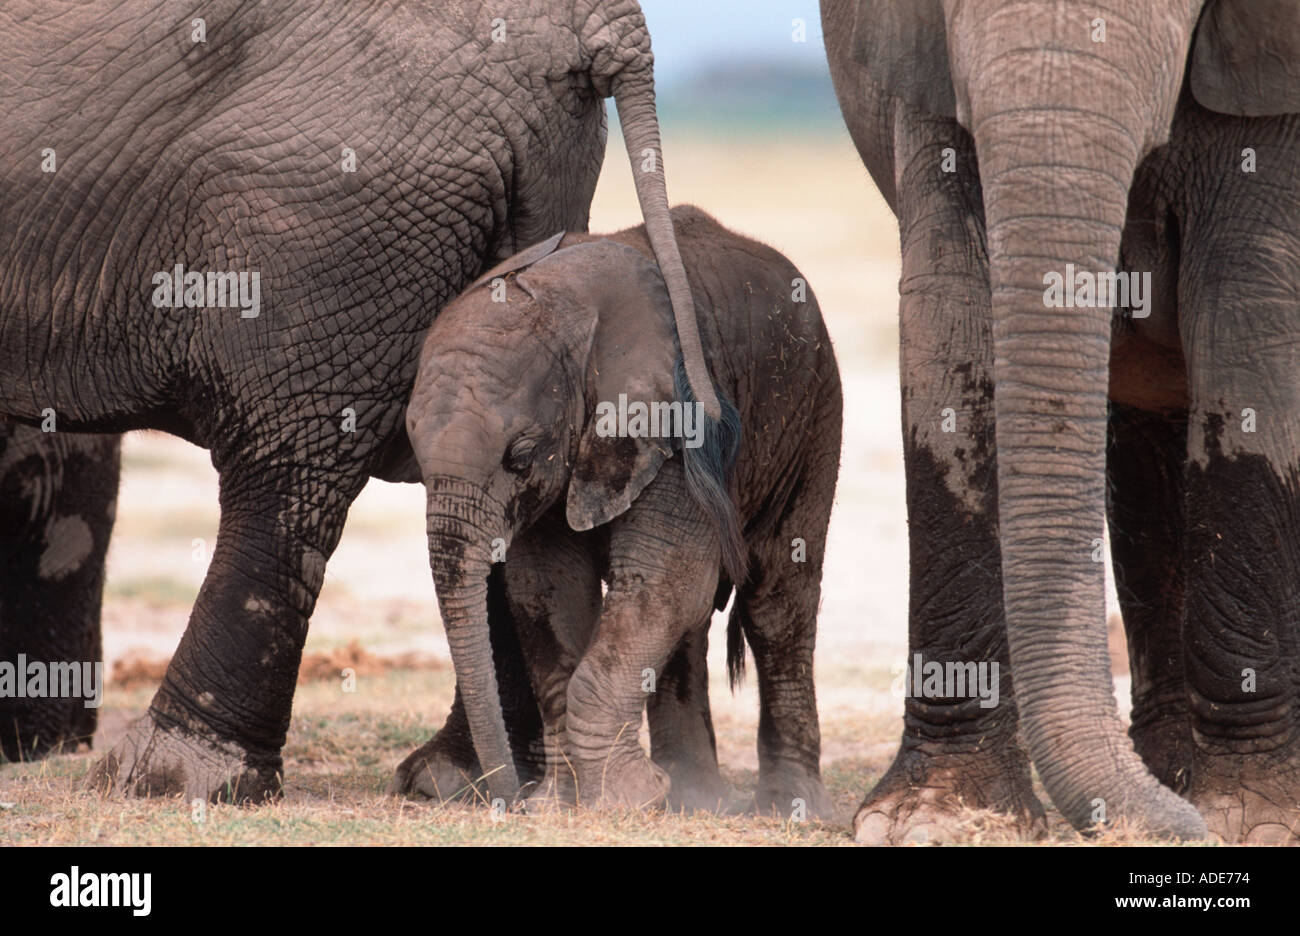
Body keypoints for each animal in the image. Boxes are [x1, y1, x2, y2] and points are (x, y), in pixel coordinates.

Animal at [401, 205, 842, 814]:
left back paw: (790, 808)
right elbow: (549, 590)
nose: (509, 799)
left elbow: (666, 582)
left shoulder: (680, 422)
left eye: (520, 455)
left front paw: (629, 799)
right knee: (695, 622)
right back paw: (695, 797)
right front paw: (562, 802)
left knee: (779, 598)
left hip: (812, 412)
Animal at [822, 0, 1300, 842]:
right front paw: (937, 819)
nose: (1182, 829)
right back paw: (1166, 776)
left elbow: (1245, 316)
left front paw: (1250, 820)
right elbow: (949, 305)